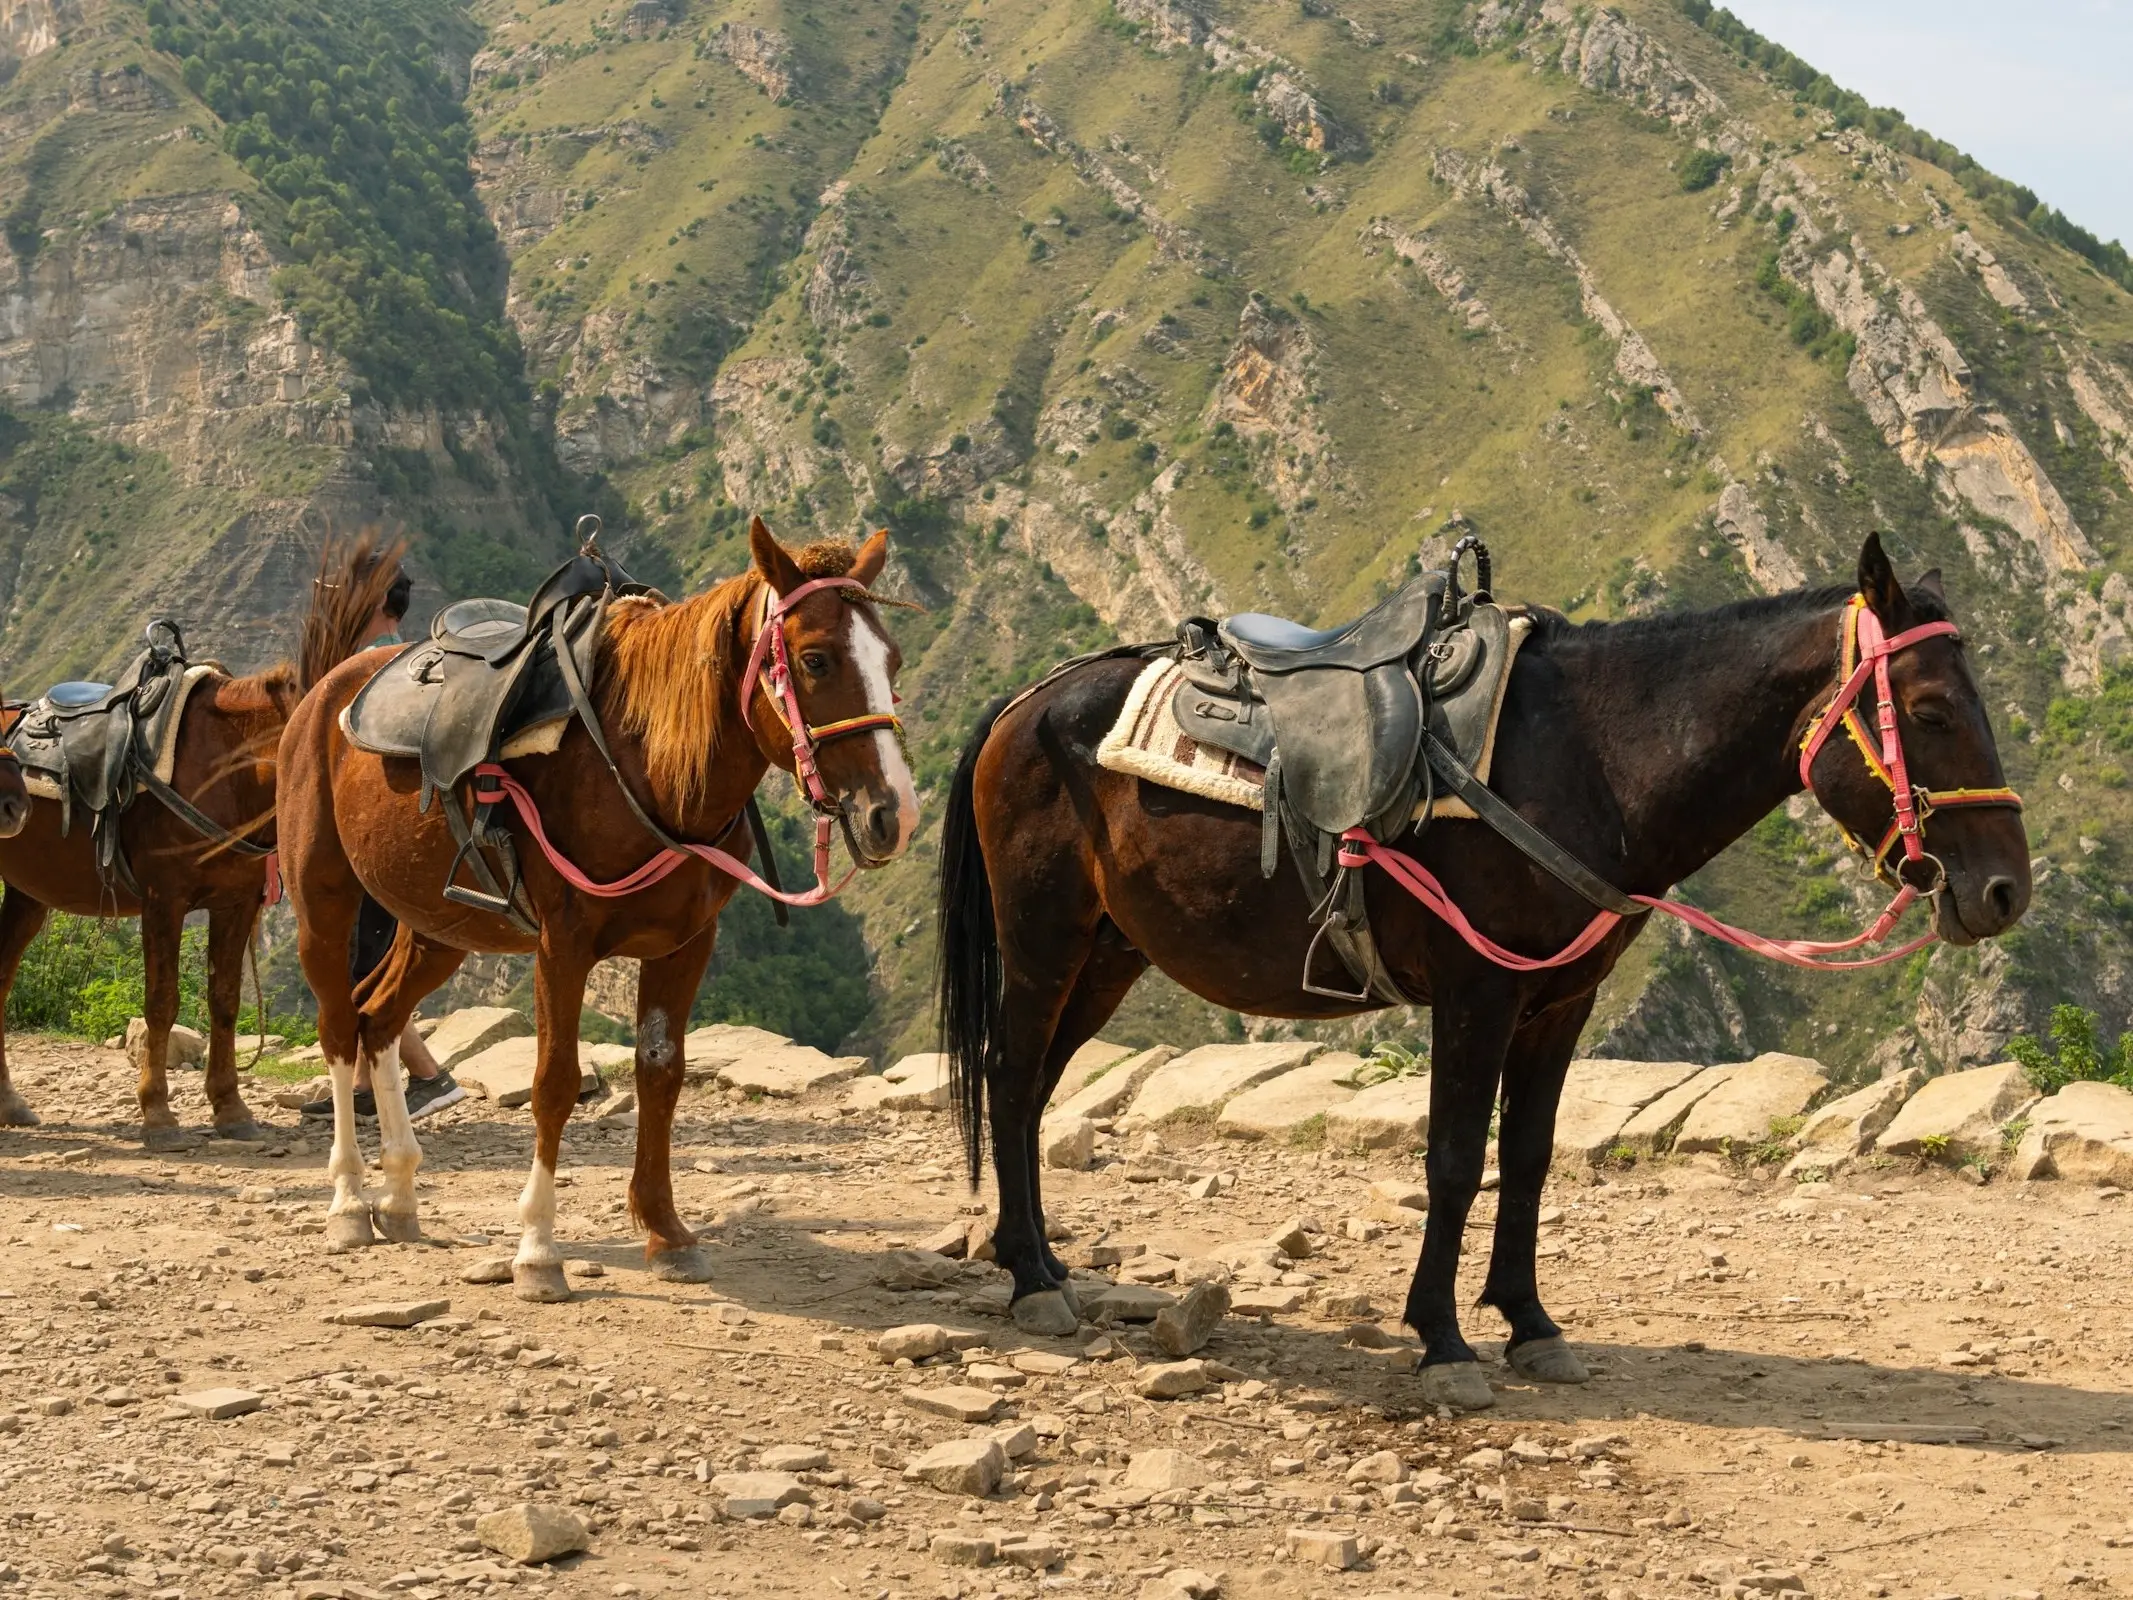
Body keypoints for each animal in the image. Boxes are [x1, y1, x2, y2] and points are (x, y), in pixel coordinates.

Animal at [0, 535, 403, 1143]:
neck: (225, 773)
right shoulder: (163, 902)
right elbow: (162, 1002)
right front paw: (157, 1112)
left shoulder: (236, 904)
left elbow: (224, 1001)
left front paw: (230, 1108)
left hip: (27, 894)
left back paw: (8, 1102)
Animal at [275, 518, 920, 1298]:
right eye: (816, 659)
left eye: (891, 659)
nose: (892, 814)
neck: (646, 763)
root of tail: (329, 689)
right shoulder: (564, 944)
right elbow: (555, 1083)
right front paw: (537, 1250)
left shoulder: (686, 943)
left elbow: (662, 1072)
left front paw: (667, 1232)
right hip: (323, 903)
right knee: (341, 1028)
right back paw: (347, 1201)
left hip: (439, 926)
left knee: (379, 1019)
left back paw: (398, 1195)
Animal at [935, 534, 2030, 1407]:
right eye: (1930, 710)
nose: (2004, 890)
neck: (1592, 758)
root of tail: (1026, 702)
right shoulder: (1477, 992)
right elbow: (1456, 1158)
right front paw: (1445, 1340)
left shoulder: (1559, 1002)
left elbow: (1531, 1156)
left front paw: (1530, 1323)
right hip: (1044, 939)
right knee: (1012, 1074)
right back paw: (1032, 1281)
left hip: (1106, 954)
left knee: (1031, 1085)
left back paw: (1042, 1259)